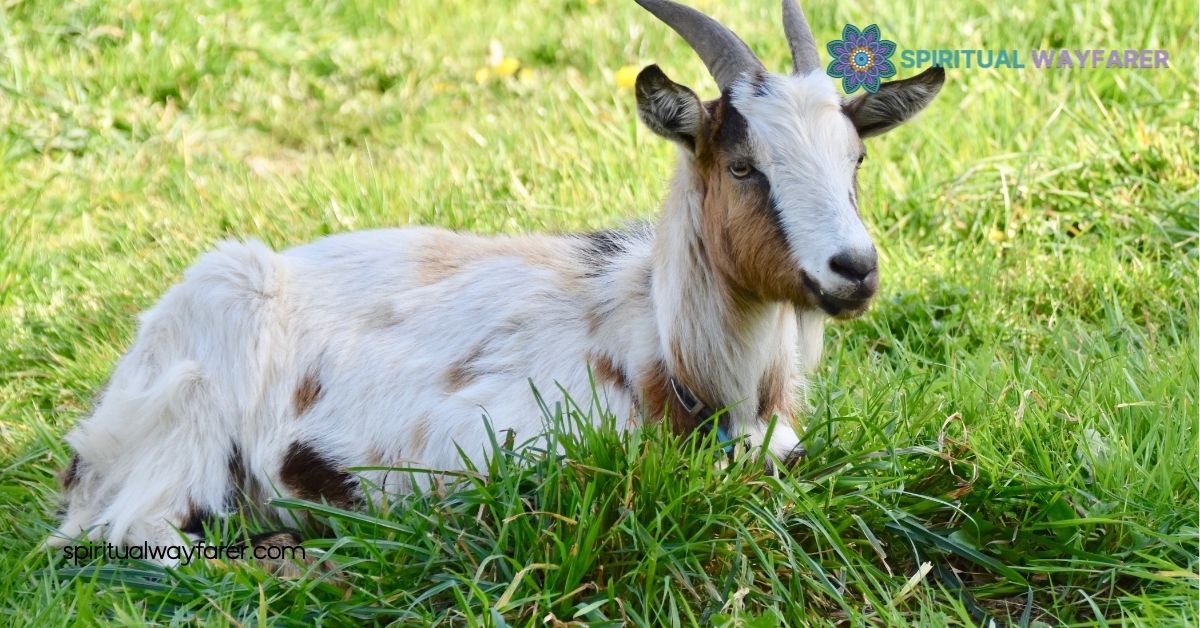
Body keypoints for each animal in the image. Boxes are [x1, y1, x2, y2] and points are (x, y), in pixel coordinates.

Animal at [48, 0, 944, 555]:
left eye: (856, 160)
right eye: (744, 165)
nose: (855, 270)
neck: (669, 354)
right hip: (189, 422)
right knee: (132, 534)